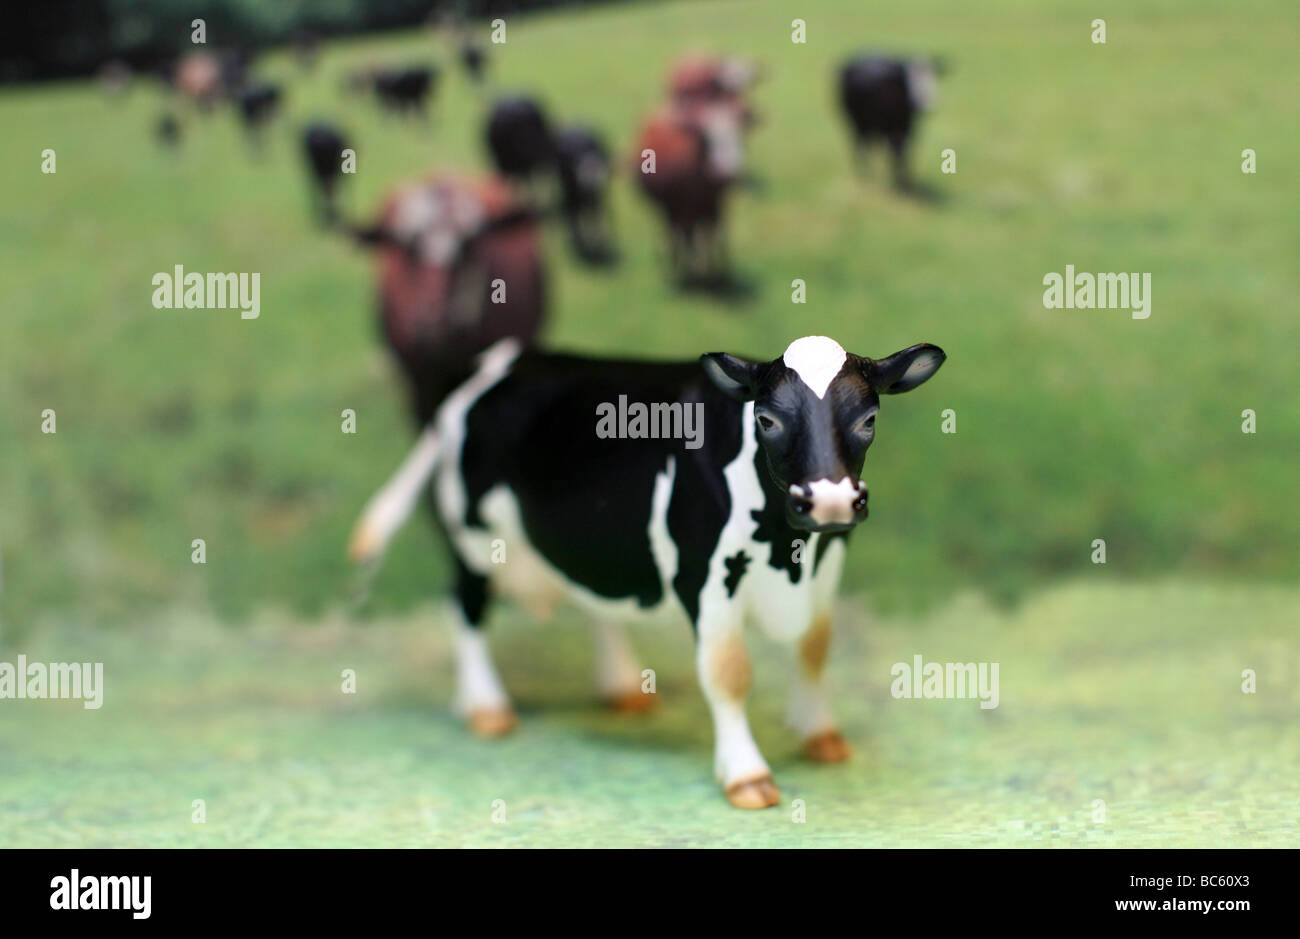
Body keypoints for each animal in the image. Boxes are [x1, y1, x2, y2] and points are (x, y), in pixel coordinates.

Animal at [348, 334, 946, 808]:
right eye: (767, 419)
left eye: (868, 420)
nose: (829, 501)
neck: (791, 556)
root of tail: (503, 356)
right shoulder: (708, 580)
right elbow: (729, 672)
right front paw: (746, 774)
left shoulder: (828, 567)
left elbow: (815, 649)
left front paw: (820, 734)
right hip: (472, 537)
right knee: (466, 606)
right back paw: (486, 706)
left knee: (590, 599)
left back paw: (621, 687)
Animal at [839, 53, 942, 190]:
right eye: (908, 76)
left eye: (933, 74)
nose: (927, 103)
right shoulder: (892, 130)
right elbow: (896, 155)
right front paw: (898, 184)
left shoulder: (908, 130)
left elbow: (905, 154)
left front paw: (906, 181)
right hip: (855, 122)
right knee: (858, 145)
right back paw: (864, 173)